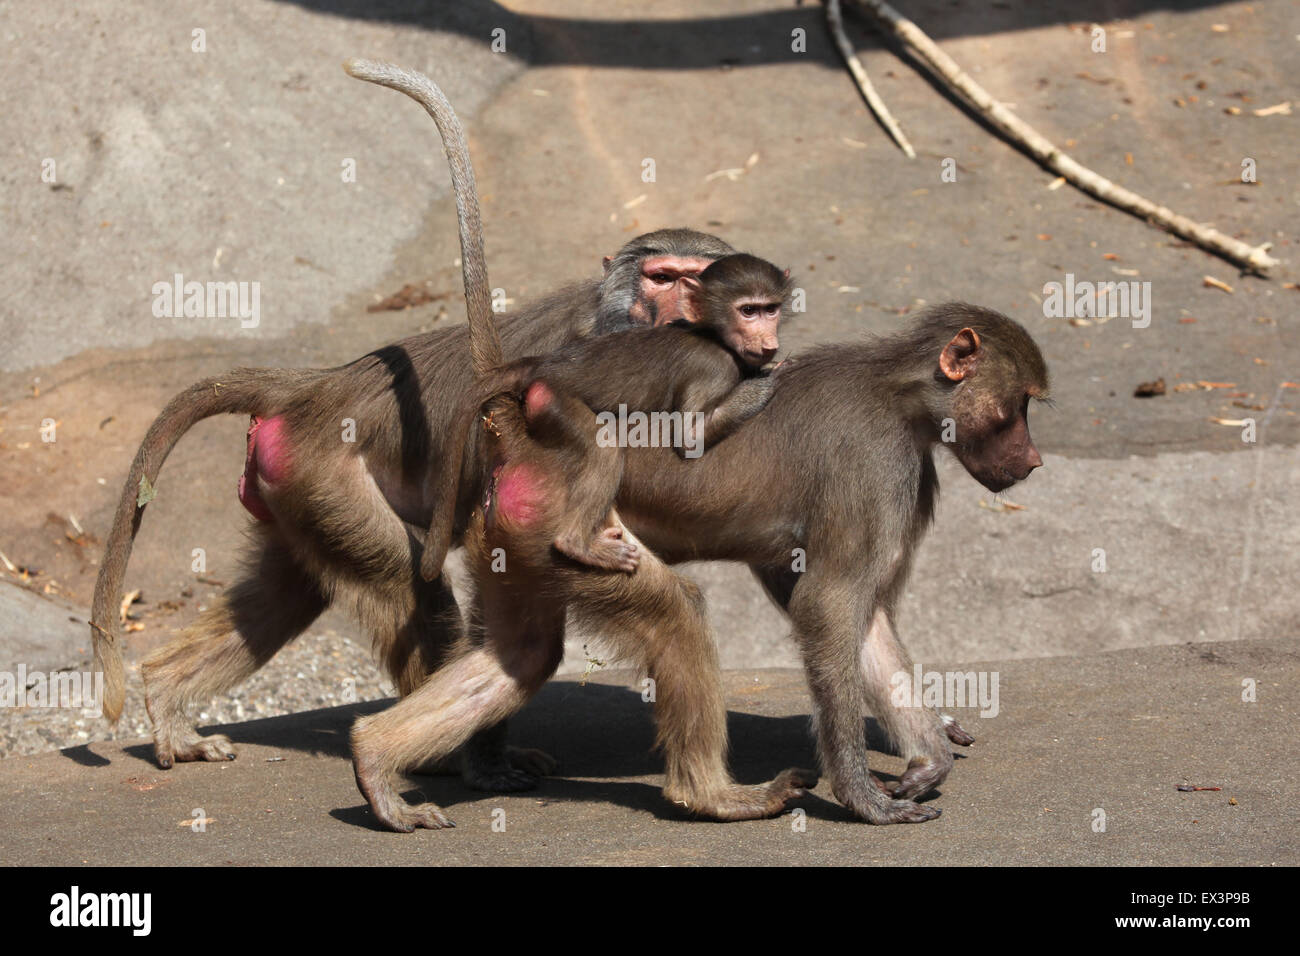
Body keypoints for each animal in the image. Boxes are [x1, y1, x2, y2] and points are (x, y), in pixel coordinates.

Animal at [88, 55, 735, 793]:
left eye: (699, 279)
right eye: (664, 277)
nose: (686, 314)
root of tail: (320, 384)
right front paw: (486, 760)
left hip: (296, 493)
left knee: (287, 591)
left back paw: (169, 701)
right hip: (324, 475)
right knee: (405, 584)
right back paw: (445, 757)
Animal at [420, 251, 791, 578]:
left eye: (770, 310)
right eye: (748, 311)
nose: (768, 341)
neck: (711, 335)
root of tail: (541, 364)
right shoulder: (713, 369)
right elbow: (690, 438)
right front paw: (766, 381)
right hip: (551, 399)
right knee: (605, 449)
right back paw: (577, 545)